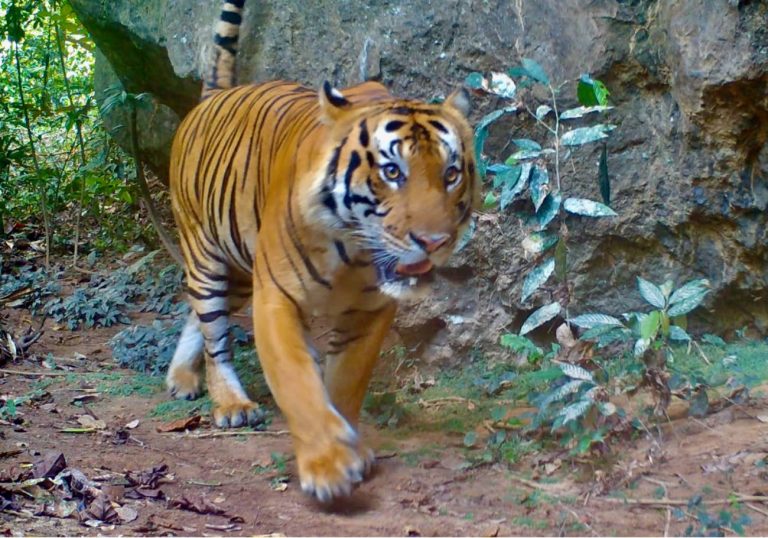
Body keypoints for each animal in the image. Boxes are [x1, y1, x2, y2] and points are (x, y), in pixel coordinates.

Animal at [165, 0, 479, 502]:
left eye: (450, 174)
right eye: (392, 171)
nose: (435, 242)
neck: (351, 253)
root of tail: (213, 95)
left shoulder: (372, 311)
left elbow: (345, 382)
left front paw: (350, 444)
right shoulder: (275, 297)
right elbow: (297, 382)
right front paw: (329, 465)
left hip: (238, 269)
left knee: (196, 312)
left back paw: (181, 378)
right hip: (208, 252)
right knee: (214, 332)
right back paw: (231, 403)